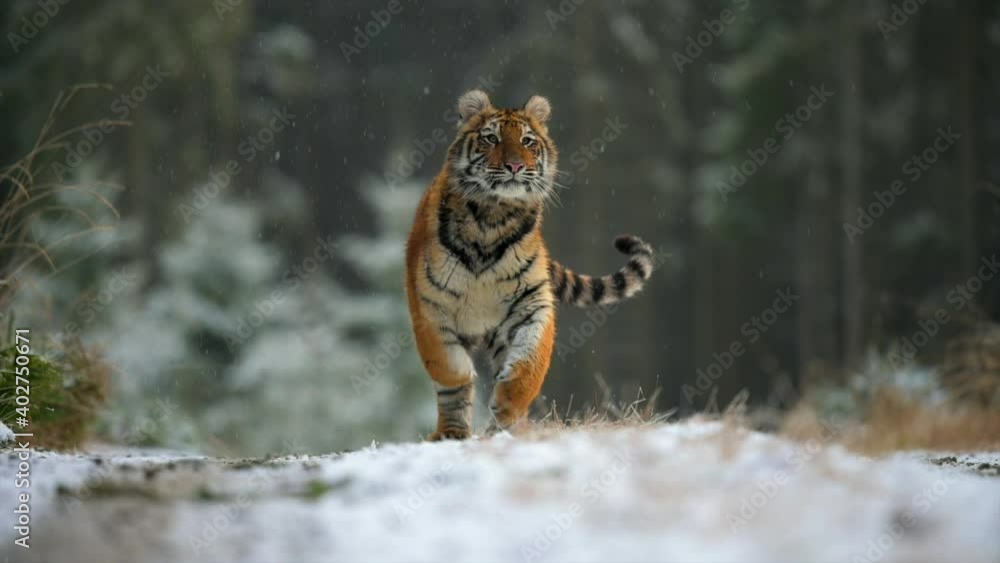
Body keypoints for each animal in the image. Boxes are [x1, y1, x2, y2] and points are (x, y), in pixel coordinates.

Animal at [405, 90, 655, 440]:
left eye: (527, 140)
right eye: (491, 138)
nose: (515, 165)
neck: (493, 217)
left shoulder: (531, 304)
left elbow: (529, 366)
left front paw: (506, 408)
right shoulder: (431, 308)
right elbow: (450, 369)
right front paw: (457, 421)